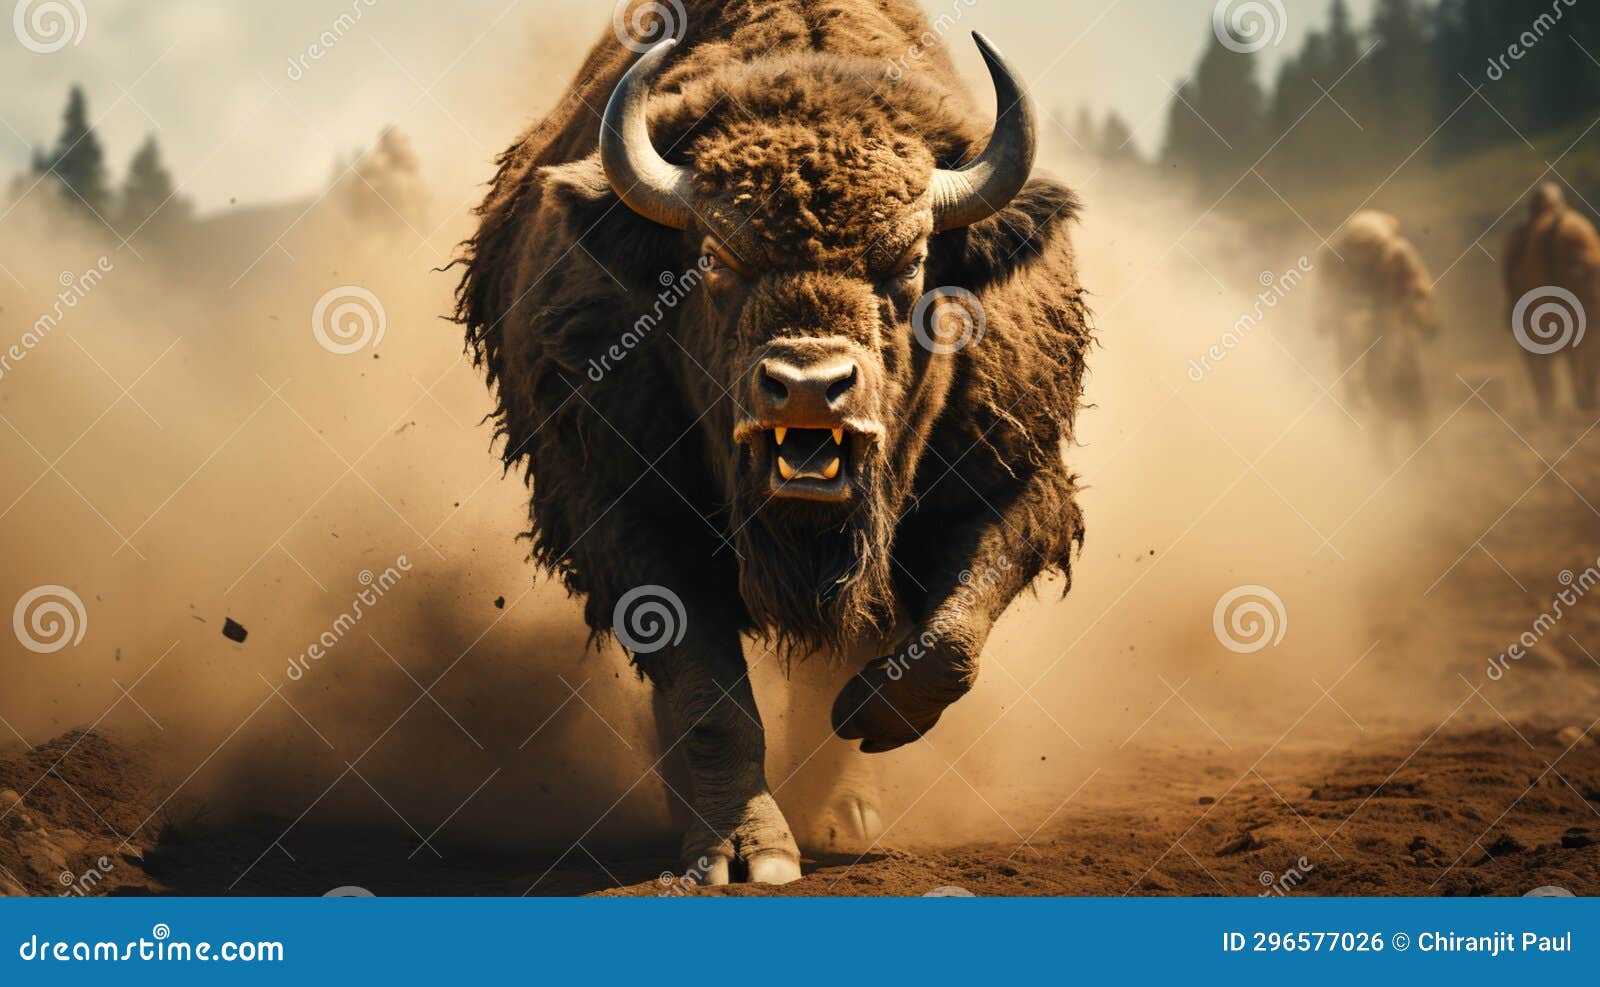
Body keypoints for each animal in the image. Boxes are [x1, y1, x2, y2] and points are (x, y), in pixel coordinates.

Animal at [454, 0, 1090, 884]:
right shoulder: (625, 515)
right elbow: (709, 696)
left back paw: (847, 808)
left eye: (911, 260)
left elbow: (947, 640)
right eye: (716, 256)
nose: (811, 383)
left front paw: (862, 714)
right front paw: (744, 852)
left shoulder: (1013, 480)